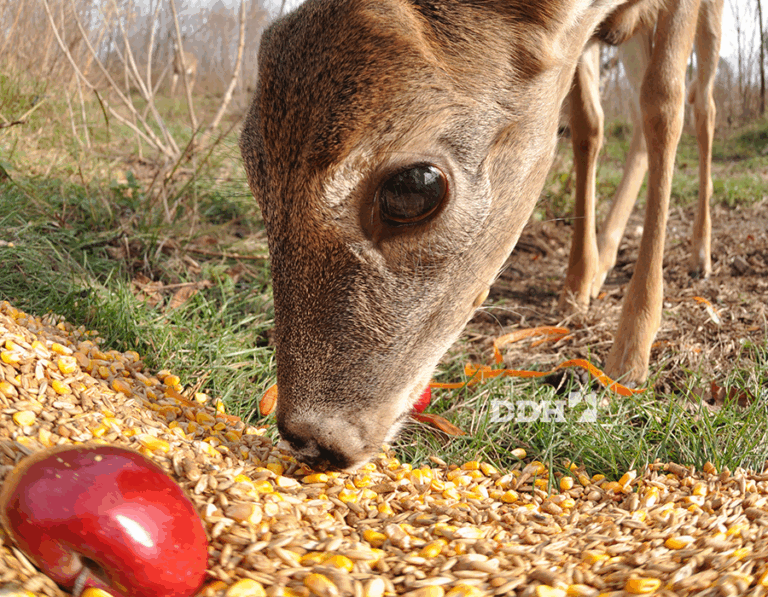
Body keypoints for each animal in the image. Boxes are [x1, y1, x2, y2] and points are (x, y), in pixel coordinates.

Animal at [239, 0, 723, 471]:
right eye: (255, 179)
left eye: (413, 188)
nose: (312, 437)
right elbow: (587, 123)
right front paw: (574, 286)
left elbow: (665, 103)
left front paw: (632, 350)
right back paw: (600, 264)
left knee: (700, 105)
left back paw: (699, 255)